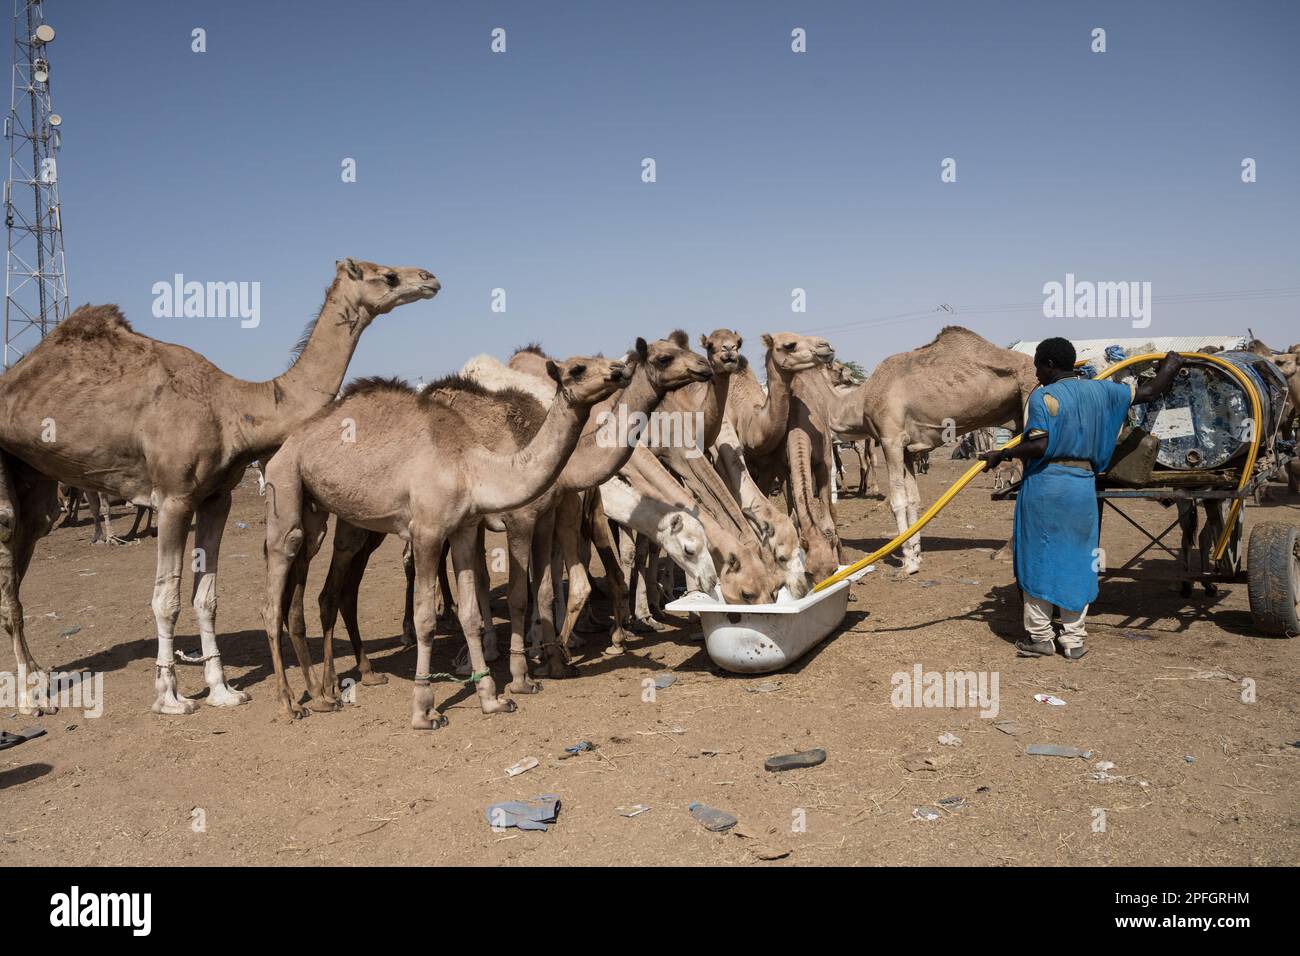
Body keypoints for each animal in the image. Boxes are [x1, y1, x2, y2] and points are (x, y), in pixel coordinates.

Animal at [0, 258, 439, 715]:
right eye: (387, 275)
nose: (429, 279)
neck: (235, 409)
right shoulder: (173, 497)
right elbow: (166, 599)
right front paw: (170, 697)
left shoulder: (215, 497)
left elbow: (206, 597)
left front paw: (223, 690)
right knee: (10, 555)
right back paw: (28, 699)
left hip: (34, 478)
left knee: (24, 554)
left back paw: (36, 679)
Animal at [260, 355, 630, 725]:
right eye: (578, 369)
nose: (619, 370)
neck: (471, 466)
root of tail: (287, 444)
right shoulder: (427, 532)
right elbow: (425, 619)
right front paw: (424, 709)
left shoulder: (464, 528)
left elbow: (470, 613)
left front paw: (491, 698)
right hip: (285, 483)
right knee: (276, 584)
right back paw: (290, 702)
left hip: (317, 508)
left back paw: (324, 694)